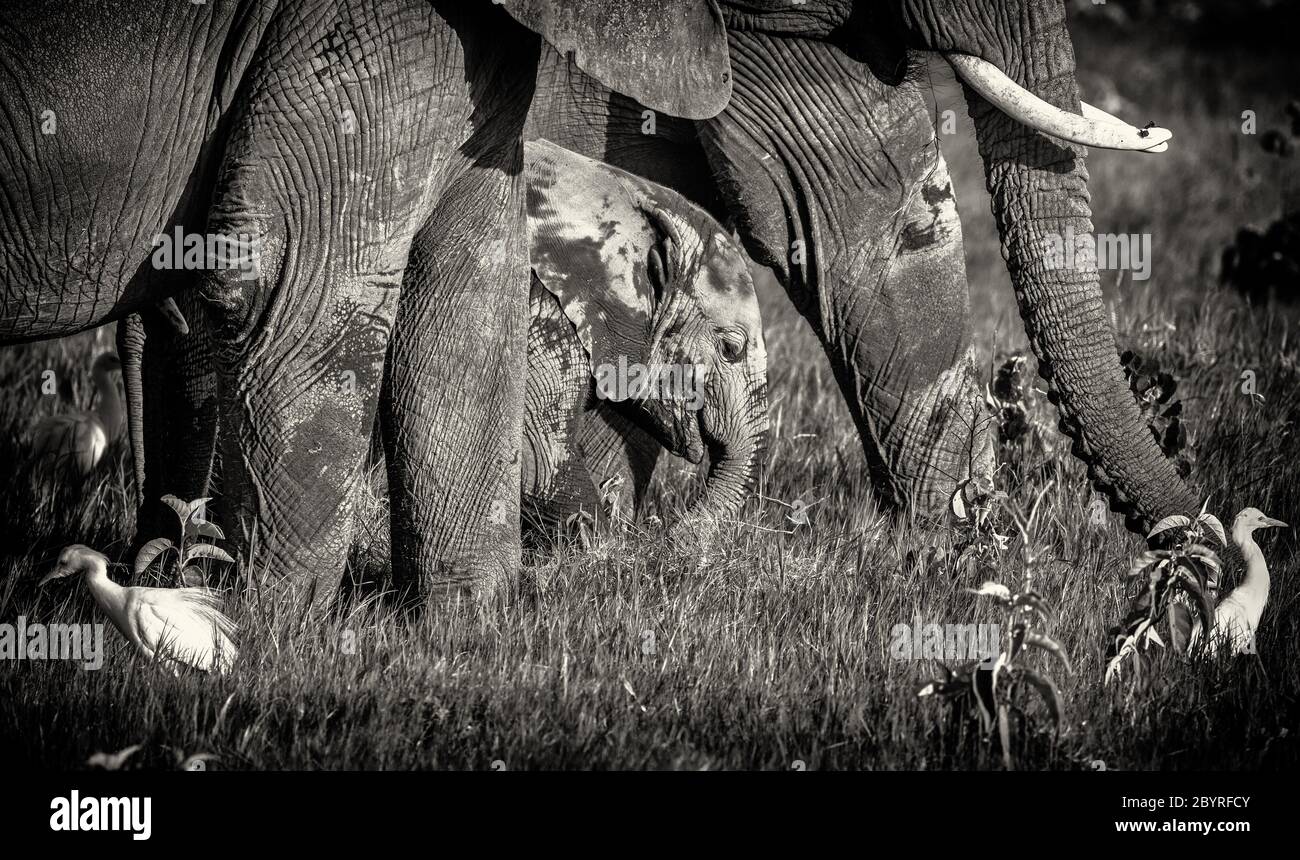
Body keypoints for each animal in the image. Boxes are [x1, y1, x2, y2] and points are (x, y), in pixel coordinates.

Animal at [0, 1, 738, 603]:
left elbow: (465, 301)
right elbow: (299, 300)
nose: (674, 542)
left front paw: (465, 627)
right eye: (730, 348)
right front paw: (257, 636)